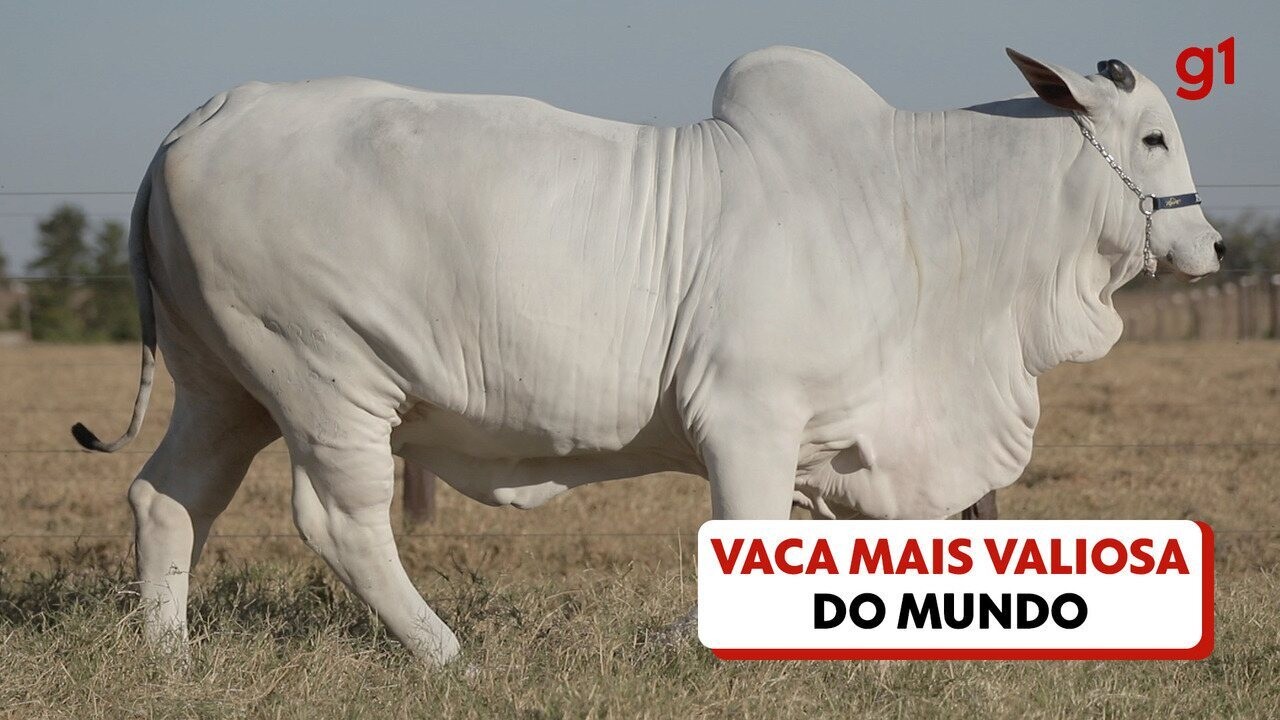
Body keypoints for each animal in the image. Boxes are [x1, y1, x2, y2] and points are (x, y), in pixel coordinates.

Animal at [74, 46, 1221, 665]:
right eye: (1154, 138)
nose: (1208, 246)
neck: (910, 206)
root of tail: (206, 117)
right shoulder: (749, 417)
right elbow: (746, 535)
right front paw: (685, 646)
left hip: (225, 387)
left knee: (167, 498)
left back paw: (171, 658)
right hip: (325, 376)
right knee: (341, 522)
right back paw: (449, 658)